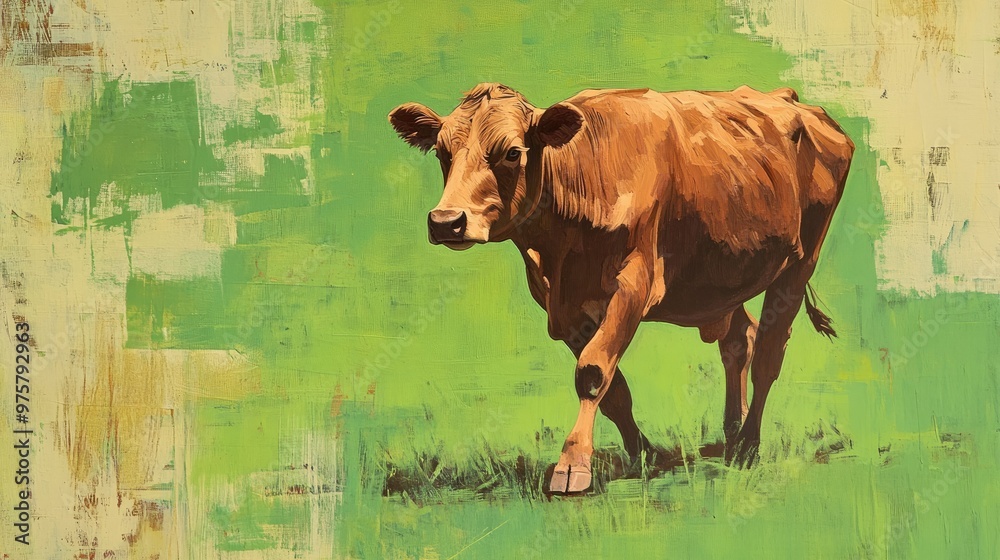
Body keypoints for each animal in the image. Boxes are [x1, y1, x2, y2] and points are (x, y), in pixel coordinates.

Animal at [388, 83, 854, 494]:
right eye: (442, 153)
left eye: (512, 152)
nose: (447, 221)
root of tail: (792, 101)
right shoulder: (562, 308)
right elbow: (613, 390)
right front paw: (644, 453)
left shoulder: (635, 284)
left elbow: (593, 371)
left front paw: (572, 465)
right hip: (721, 275)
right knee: (740, 340)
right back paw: (732, 432)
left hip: (799, 263)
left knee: (769, 355)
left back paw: (748, 446)